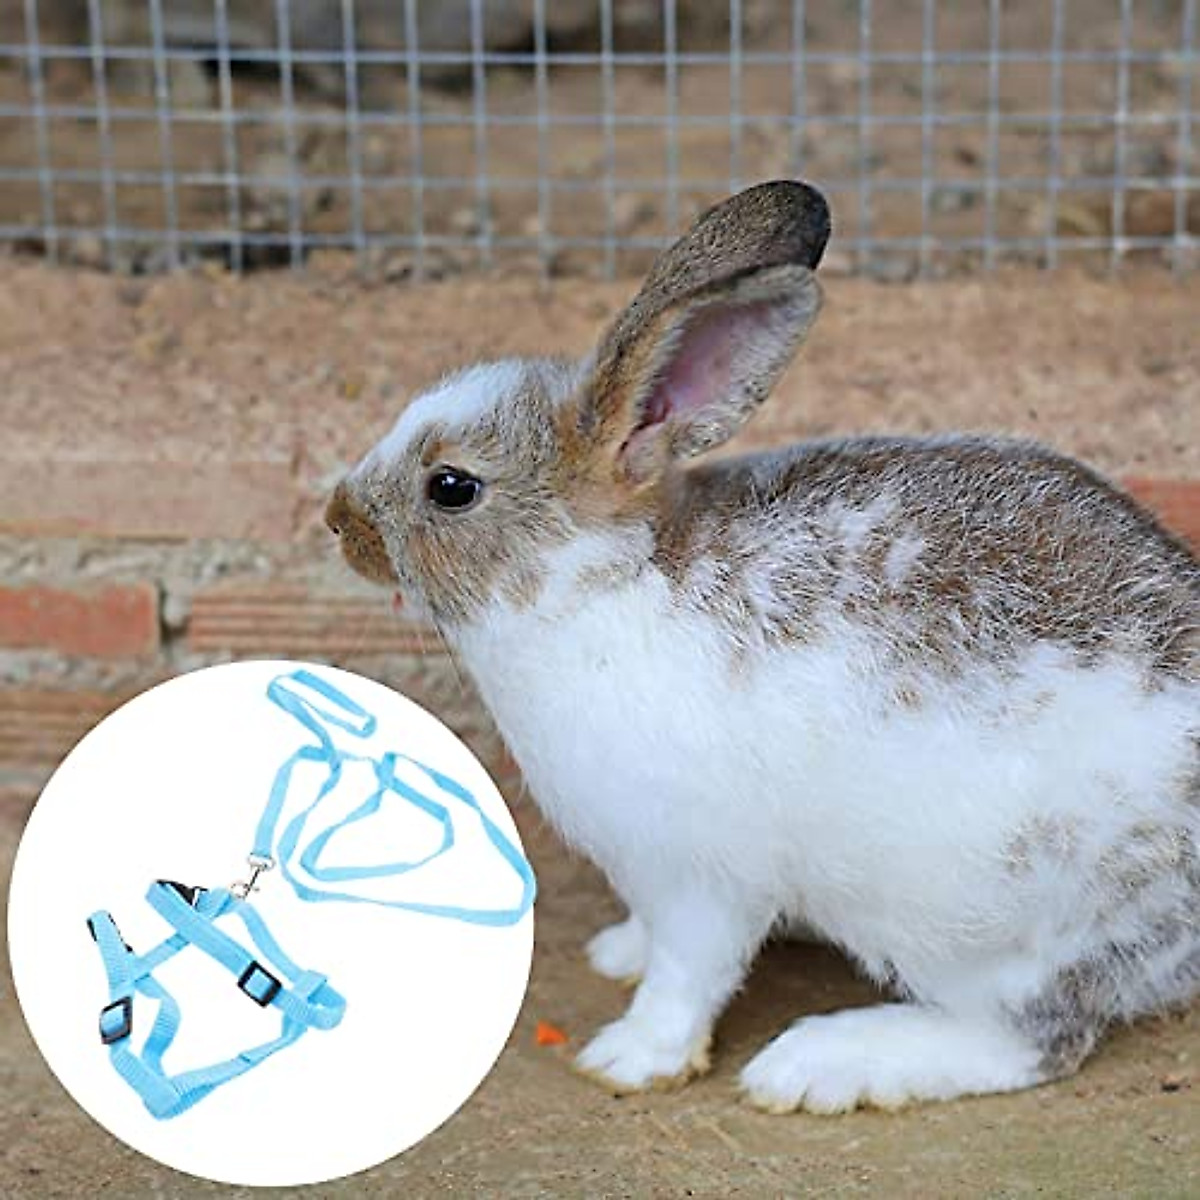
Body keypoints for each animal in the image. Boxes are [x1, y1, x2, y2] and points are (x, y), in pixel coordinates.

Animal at [326, 180, 1200, 1113]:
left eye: (451, 487)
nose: (338, 520)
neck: (604, 582)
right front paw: (615, 953)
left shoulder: (698, 877)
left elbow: (686, 978)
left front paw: (630, 1057)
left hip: (977, 923)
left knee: (1033, 1041)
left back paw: (820, 1063)